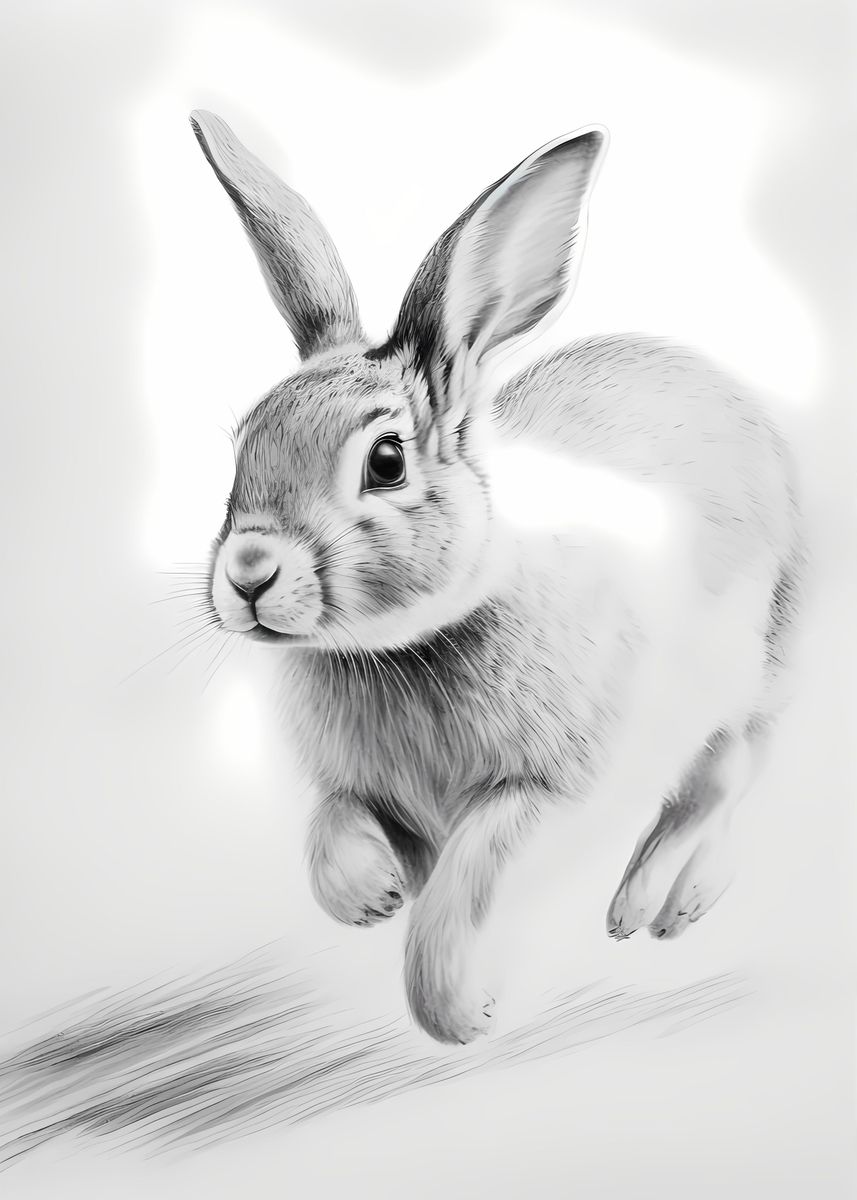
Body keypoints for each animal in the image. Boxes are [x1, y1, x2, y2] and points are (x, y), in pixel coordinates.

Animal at [189, 110, 804, 1045]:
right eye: (242, 447)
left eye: (385, 461)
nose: (250, 572)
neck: (401, 646)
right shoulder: (354, 790)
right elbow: (329, 828)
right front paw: (372, 896)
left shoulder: (547, 789)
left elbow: (475, 873)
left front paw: (463, 1009)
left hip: (746, 672)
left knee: (728, 773)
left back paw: (655, 905)